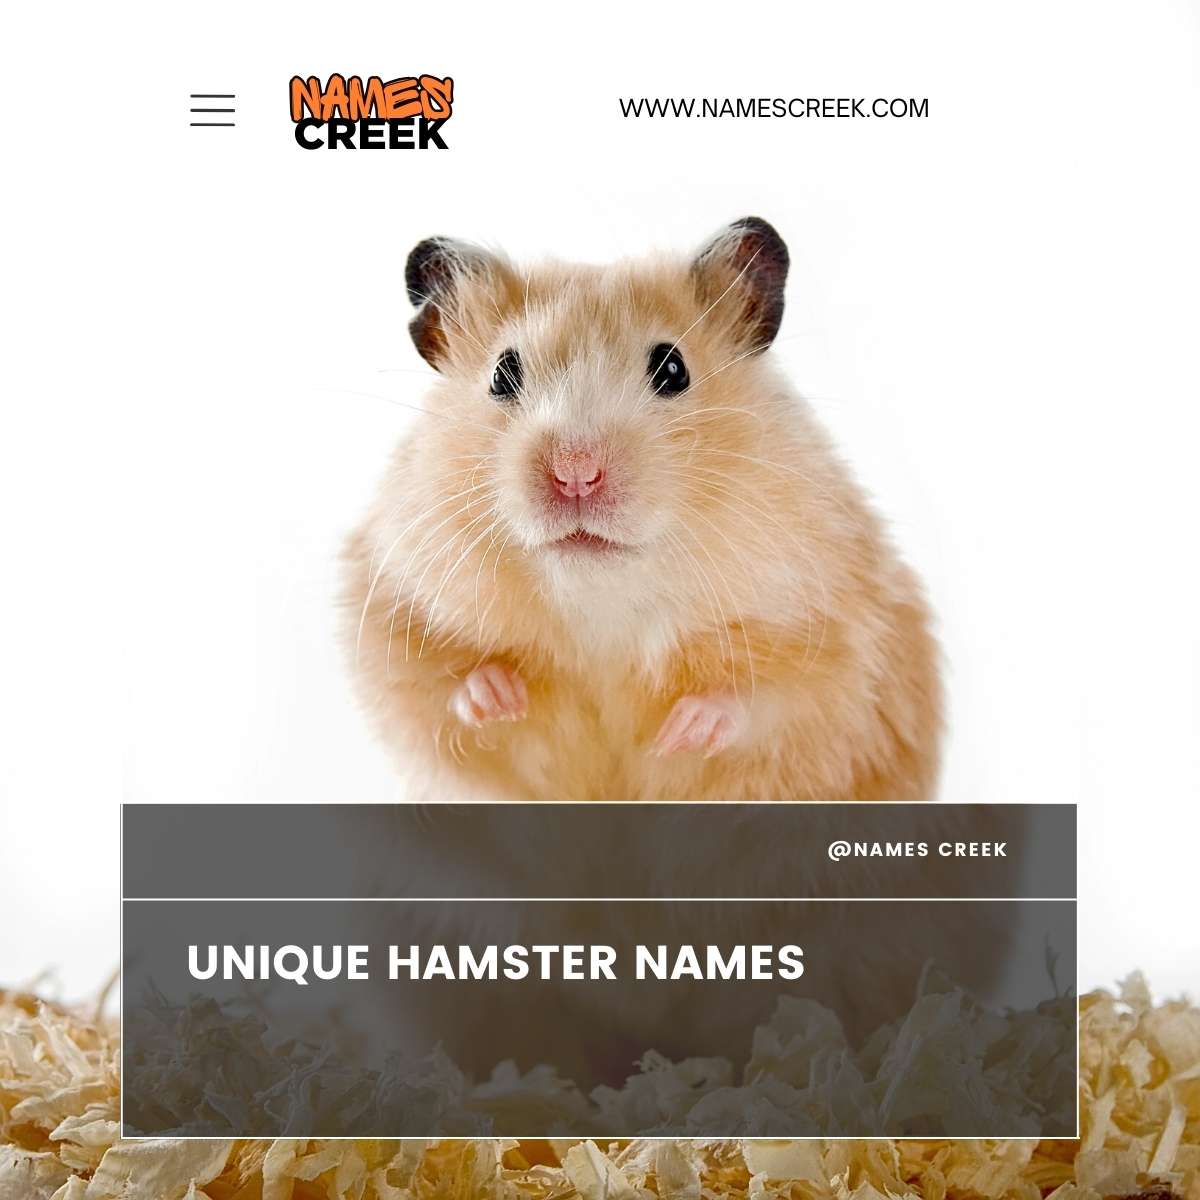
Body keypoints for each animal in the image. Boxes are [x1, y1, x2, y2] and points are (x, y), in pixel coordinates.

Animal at [342, 218, 942, 802]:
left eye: (673, 370)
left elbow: (775, 699)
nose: (575, 473)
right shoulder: (387, 608)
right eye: (501, 374)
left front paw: (682, 731)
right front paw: (499, 695)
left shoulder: (839, 634)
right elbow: (435, 683)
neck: (602, 605)